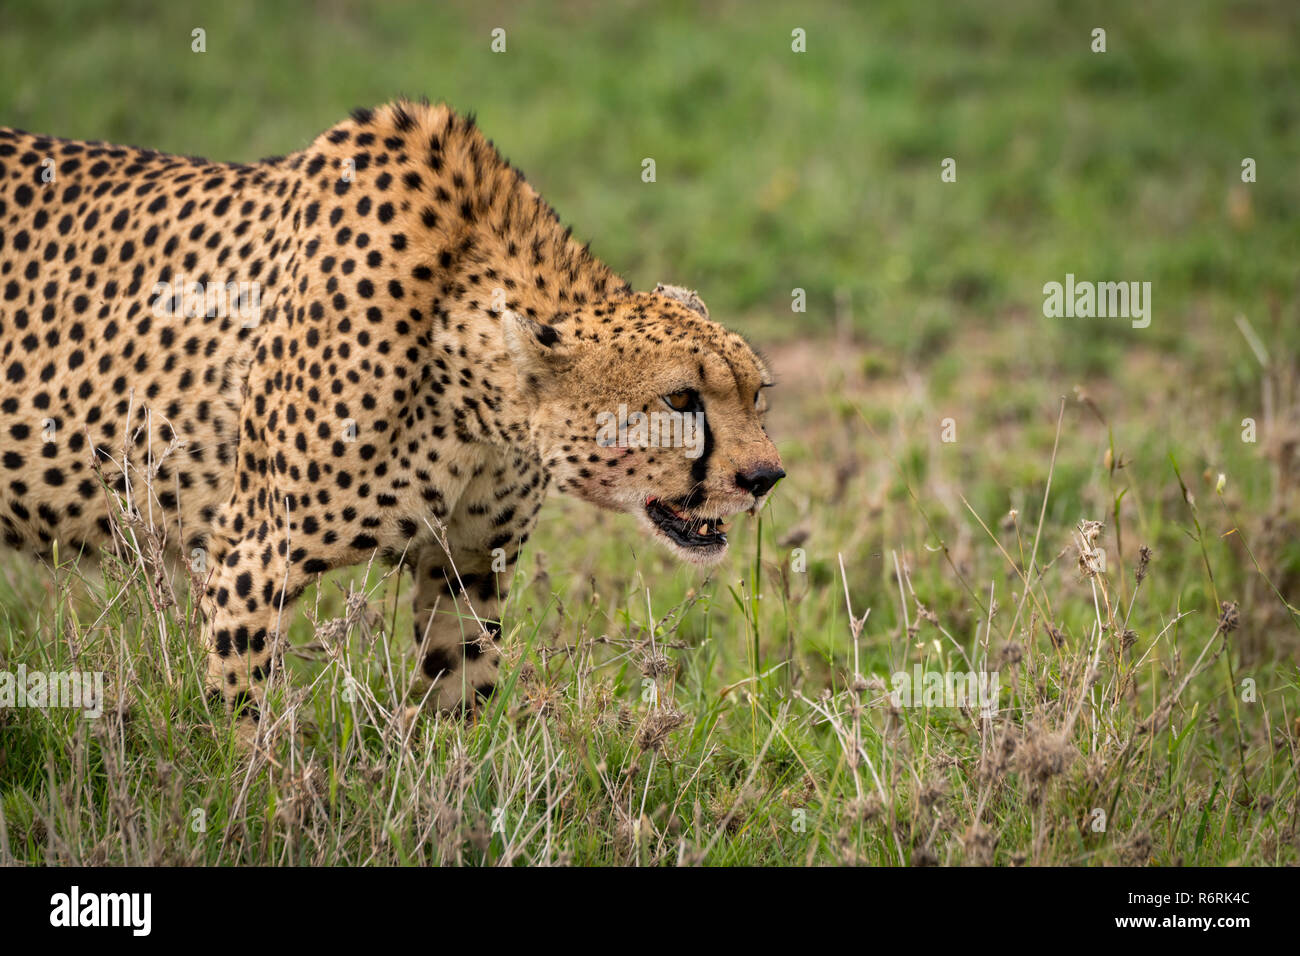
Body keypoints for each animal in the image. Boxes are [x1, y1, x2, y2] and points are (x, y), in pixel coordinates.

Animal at [0, 98, 784, 735]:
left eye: (757, 393)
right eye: (680, 399)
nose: (766, 478)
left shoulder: (467, 563)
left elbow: (459, 699)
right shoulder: (246, 558)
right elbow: (246, 733)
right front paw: (264, 800)